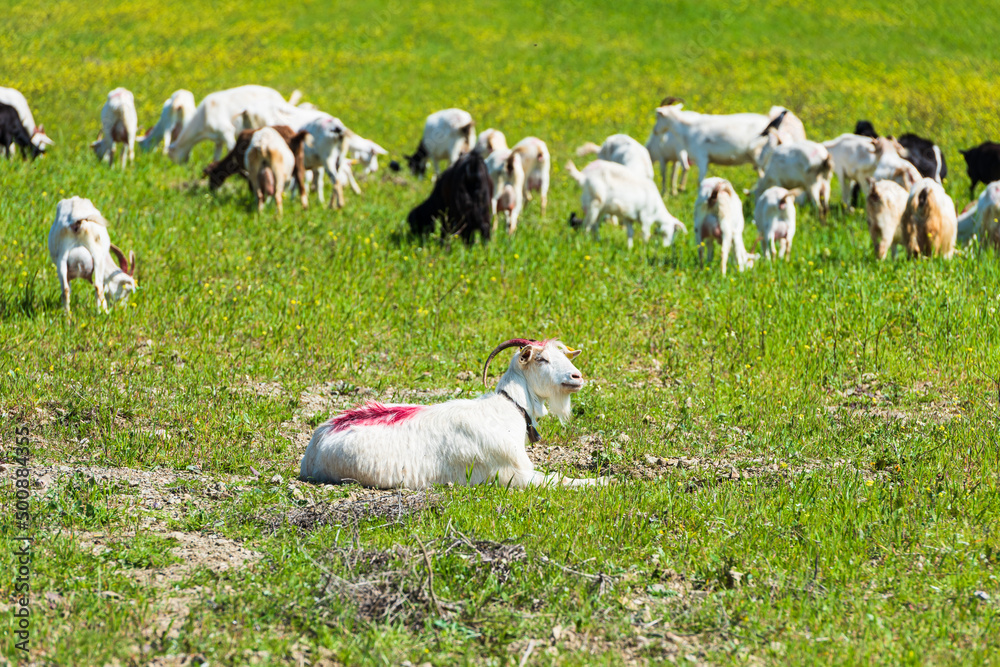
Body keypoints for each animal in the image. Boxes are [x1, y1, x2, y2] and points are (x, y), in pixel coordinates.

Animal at [300, 339, 609, 489]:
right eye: (541, 359)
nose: (576, 376)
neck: (507, 409)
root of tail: (315, 442)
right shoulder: (510, 475)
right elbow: (559, 480)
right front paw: (603, 482)